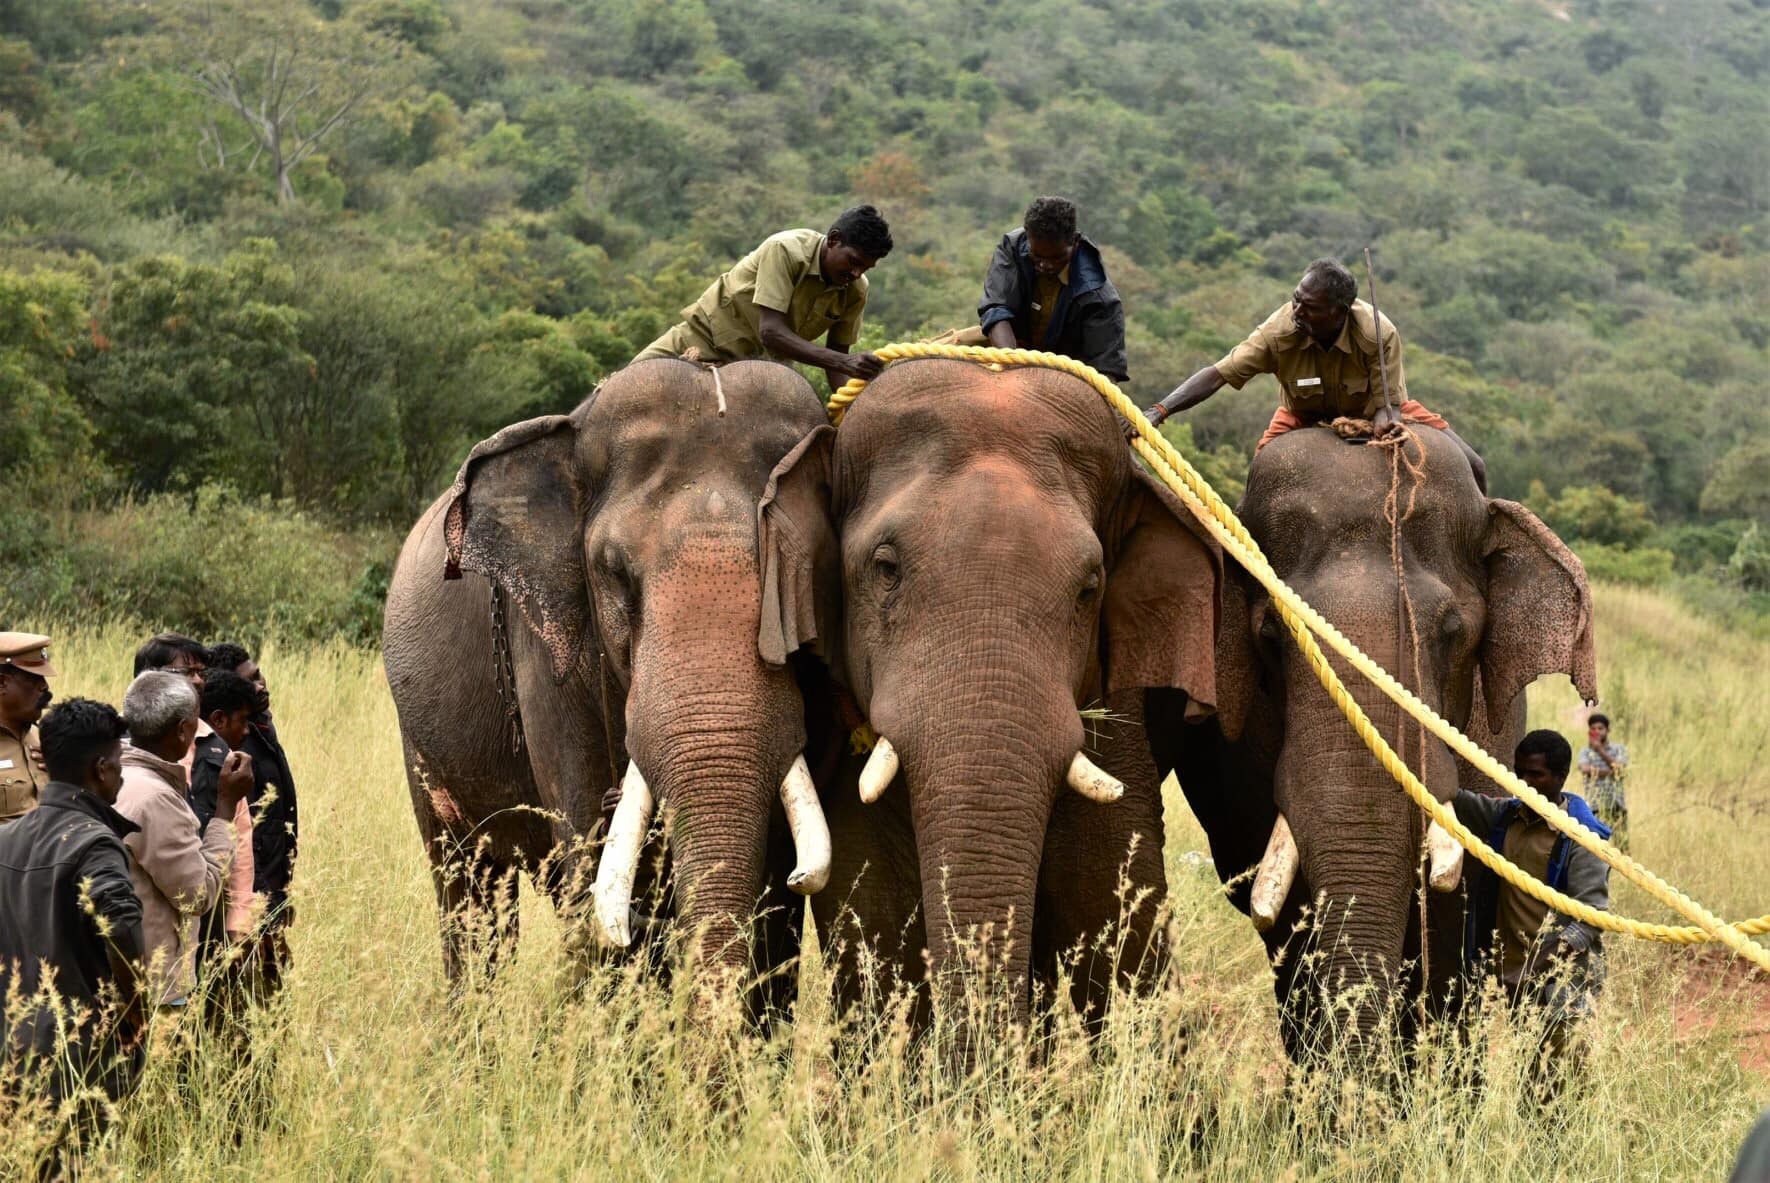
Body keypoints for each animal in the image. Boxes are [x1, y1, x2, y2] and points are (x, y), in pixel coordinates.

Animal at [383, 359, 844, 1013]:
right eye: (615, 573)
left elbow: (774, 882)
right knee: (468, 887)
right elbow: (590, 855)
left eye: (802, 571)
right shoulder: (544, 648)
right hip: (419, 741)